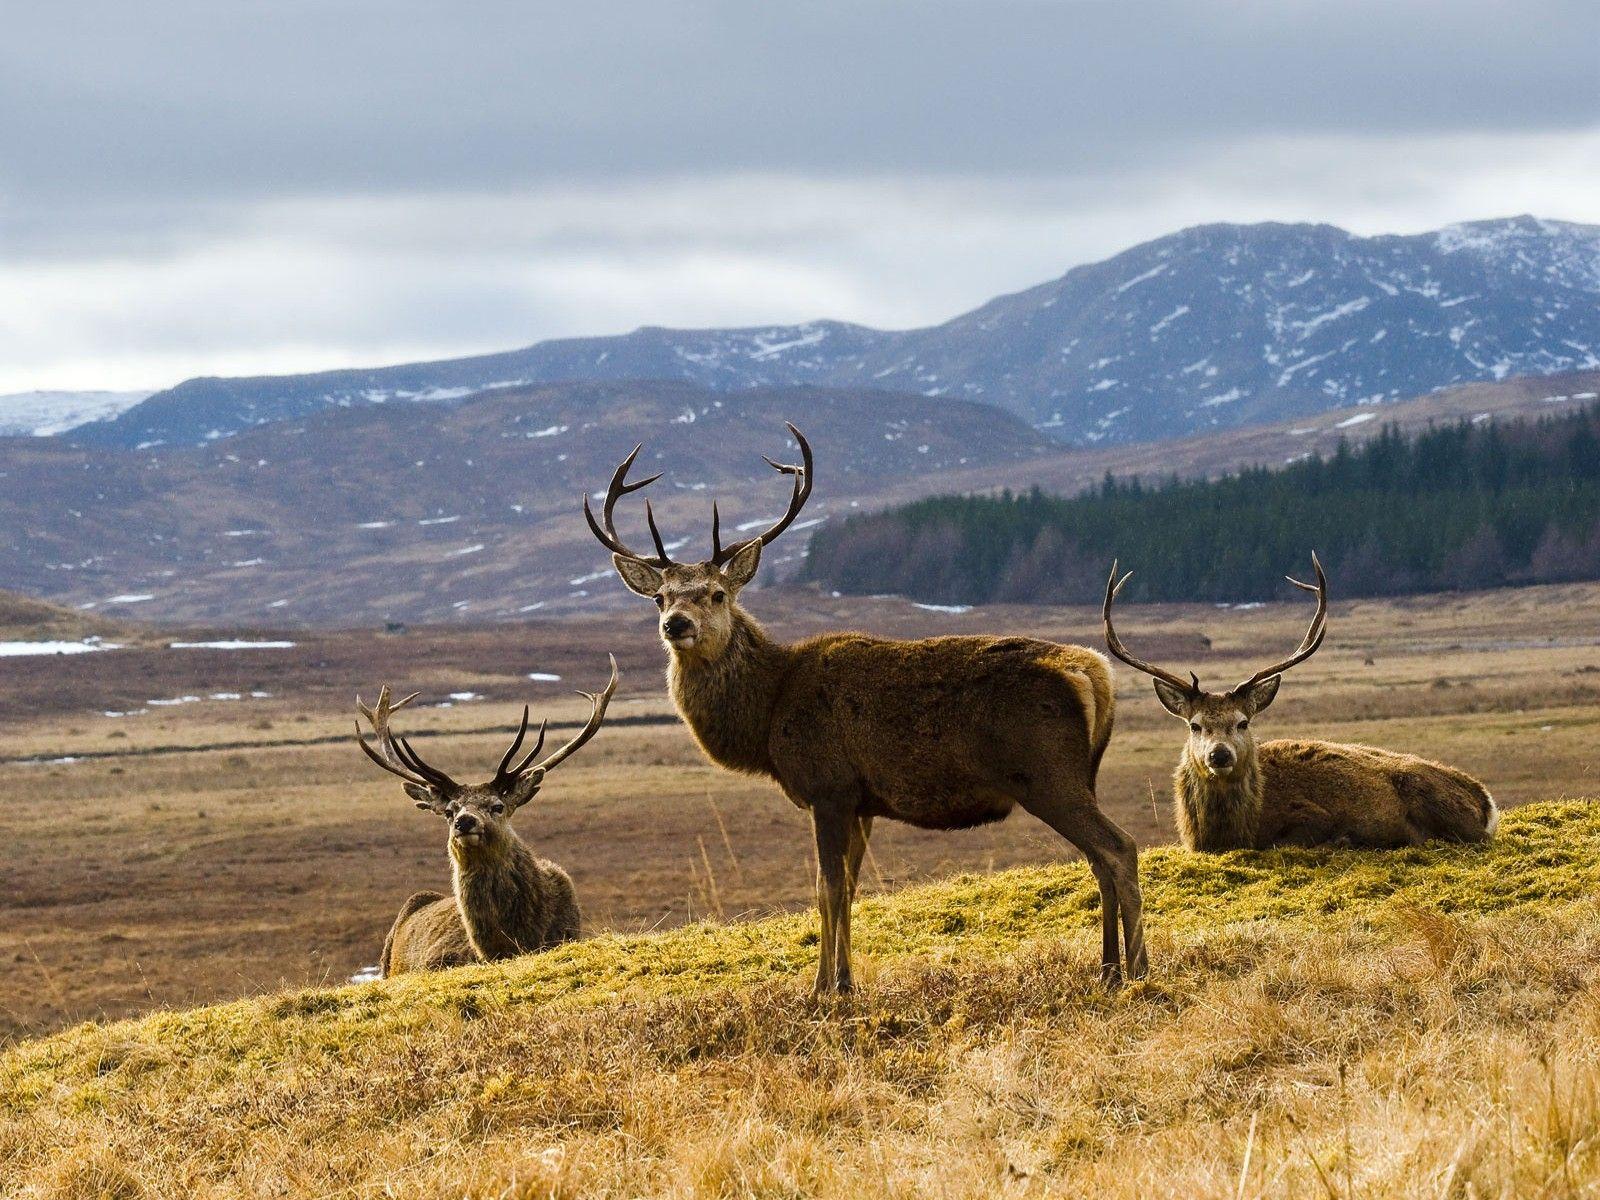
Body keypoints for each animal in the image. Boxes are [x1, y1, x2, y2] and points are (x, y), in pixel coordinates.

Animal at [584, 424, 1146, 993]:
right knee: (1100, 859)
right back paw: (1108, 970)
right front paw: (846, 981)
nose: (675, 624)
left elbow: (826, 889)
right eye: (660, 597)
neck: (768, 717)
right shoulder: (862, 801)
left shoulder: (828, 786)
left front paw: (820, 989)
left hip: (1045, 774)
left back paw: (1138, 970)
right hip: (1080, 775)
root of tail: (1092, 671)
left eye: (718, 594)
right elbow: (849, 889)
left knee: (1119, 847)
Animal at [1103, 555, 1498, 852]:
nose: (1219, 754)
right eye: (1194, 724)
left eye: (1243, 722)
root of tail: (1485, 800)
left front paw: (1342, 839)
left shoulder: (1310, 816)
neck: (1230, 832)